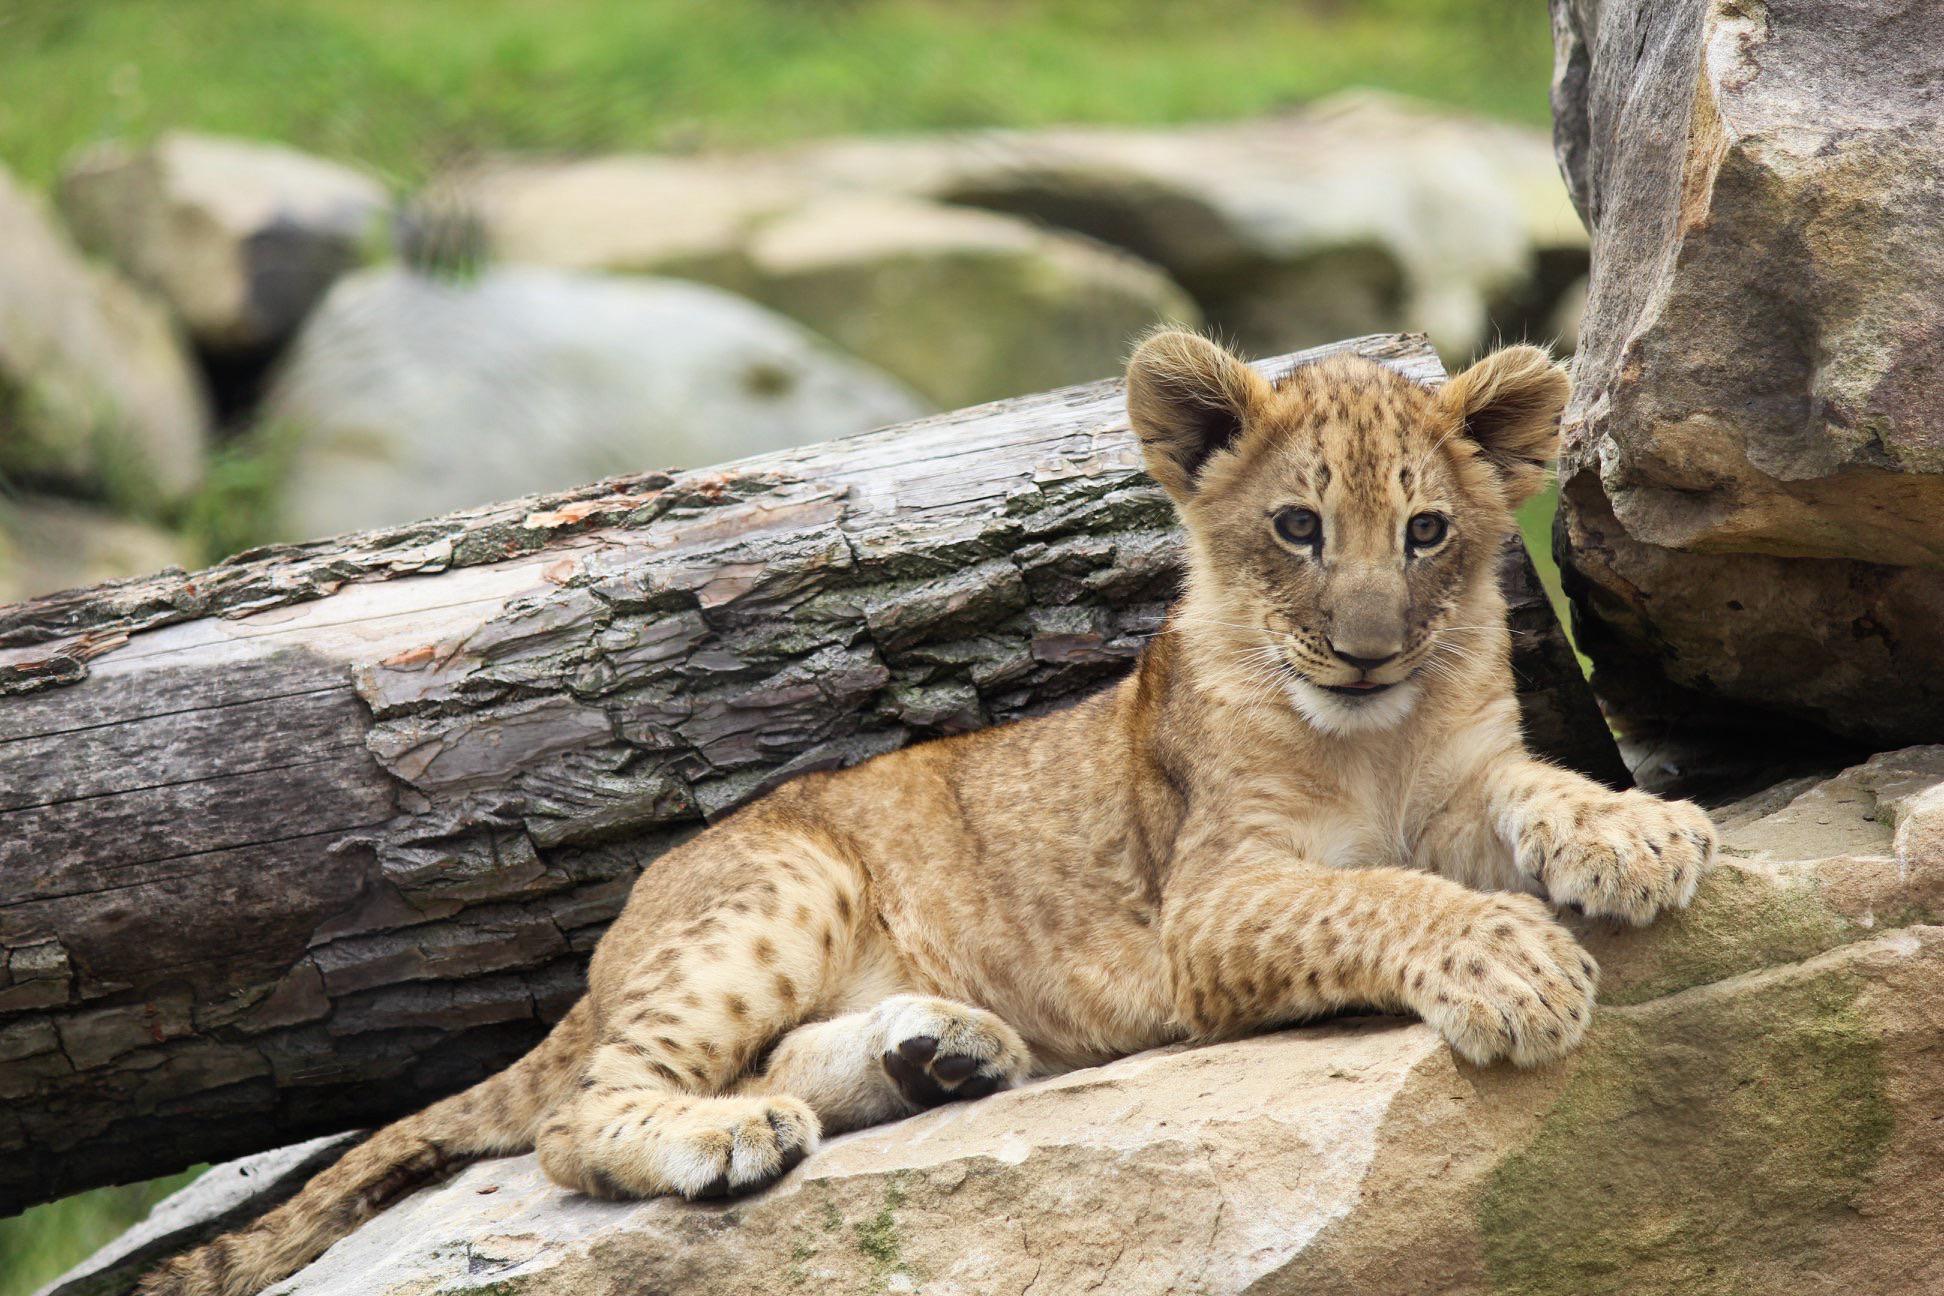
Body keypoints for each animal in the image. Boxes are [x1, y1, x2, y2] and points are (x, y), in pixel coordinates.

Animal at [143, 331, 1715, 1295]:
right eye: (1298, 529)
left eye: (1428, 533)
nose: (1369, 649)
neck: (1375, 743)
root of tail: (606, 947)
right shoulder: (1210, 905)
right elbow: (1380, 894)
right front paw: (1517, 967)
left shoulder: (1463, 782)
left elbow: (1537, 790)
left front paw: (1644, 838)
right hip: (784, 886)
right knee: (582, 1121)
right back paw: (734, 1138)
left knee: (762, 1056)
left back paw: (939, 1058)